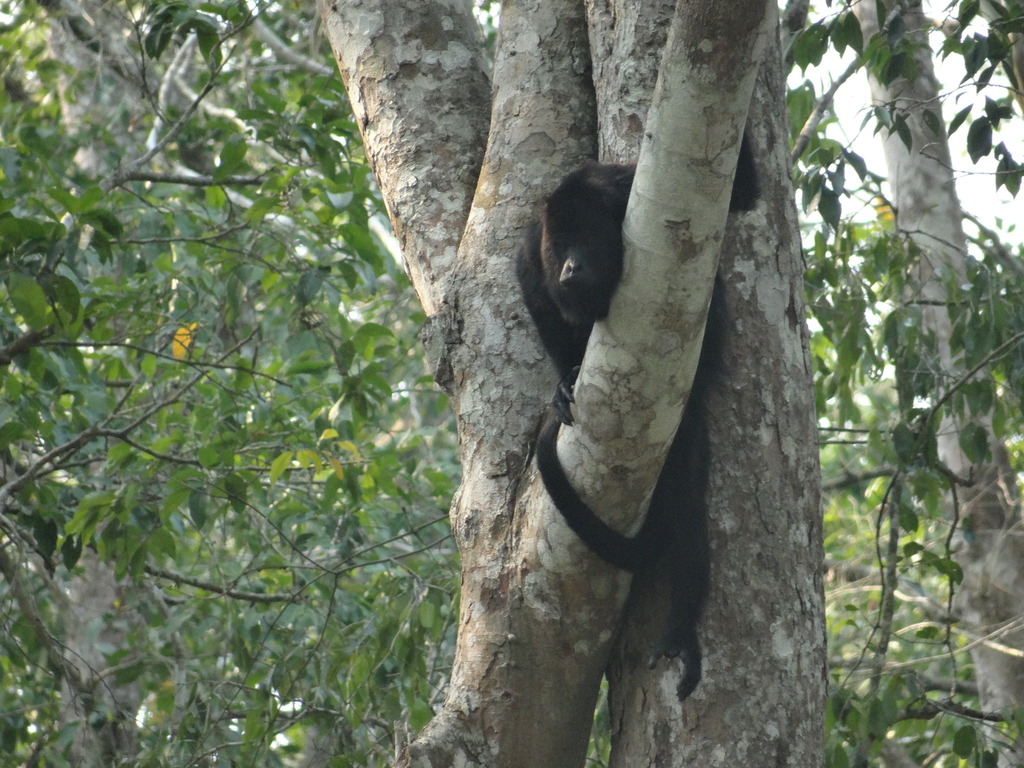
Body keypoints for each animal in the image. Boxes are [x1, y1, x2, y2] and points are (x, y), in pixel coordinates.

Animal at [515, 138, 757, 701]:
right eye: (561, 247)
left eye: (587, 241)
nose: (570, 269)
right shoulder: (531, 251)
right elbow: (536, 299)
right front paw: (563, 383)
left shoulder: (623, 186)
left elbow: (742, 193)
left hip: (686, 428)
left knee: (687, 515)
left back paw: (680, 636)